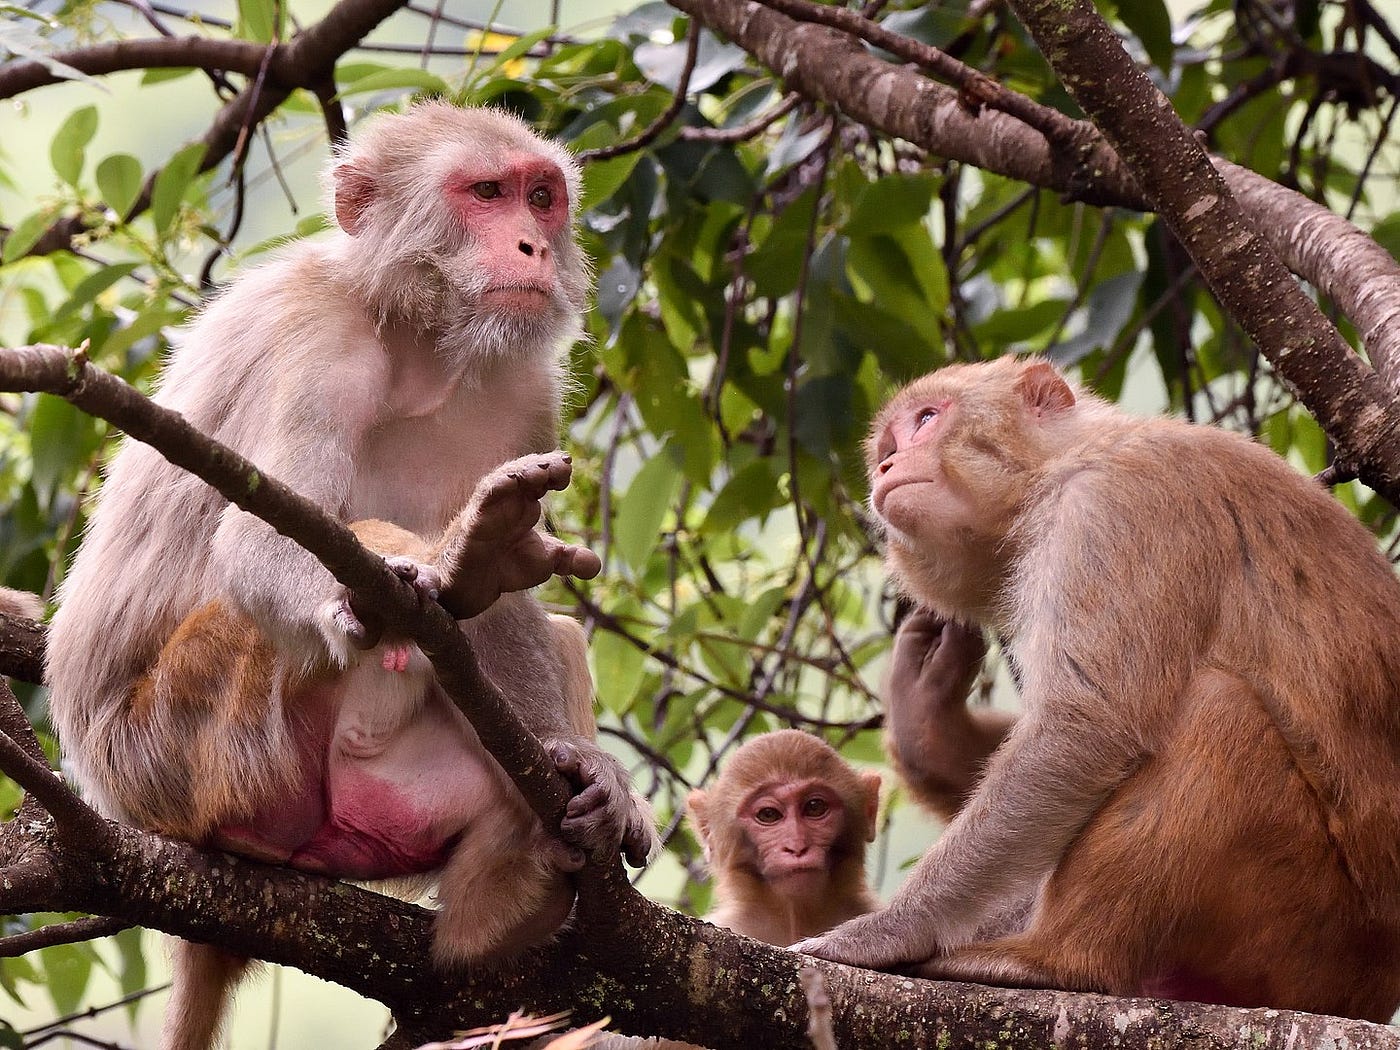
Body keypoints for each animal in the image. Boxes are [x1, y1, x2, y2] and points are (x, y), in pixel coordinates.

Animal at [44, 103, 656, 1049]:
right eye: (486, 192)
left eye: (541, 196)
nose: (531, 245)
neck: (415, 337)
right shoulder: (317, 341)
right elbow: (253, 542)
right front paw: (446, 566)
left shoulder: (522, 387)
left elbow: (514, 614)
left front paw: (577, 759)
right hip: (190, 744)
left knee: (540, 638)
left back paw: (509, 897)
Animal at [795, 355, 1400, 1022]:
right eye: (888, 446)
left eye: (926, 419)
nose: (885, 467)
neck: (1062, 464)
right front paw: (925, 723)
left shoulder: (1113, 506)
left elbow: (1083, 729)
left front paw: (893, 930)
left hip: (1310, 932)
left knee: (1218, 712)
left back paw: (1057, 961)